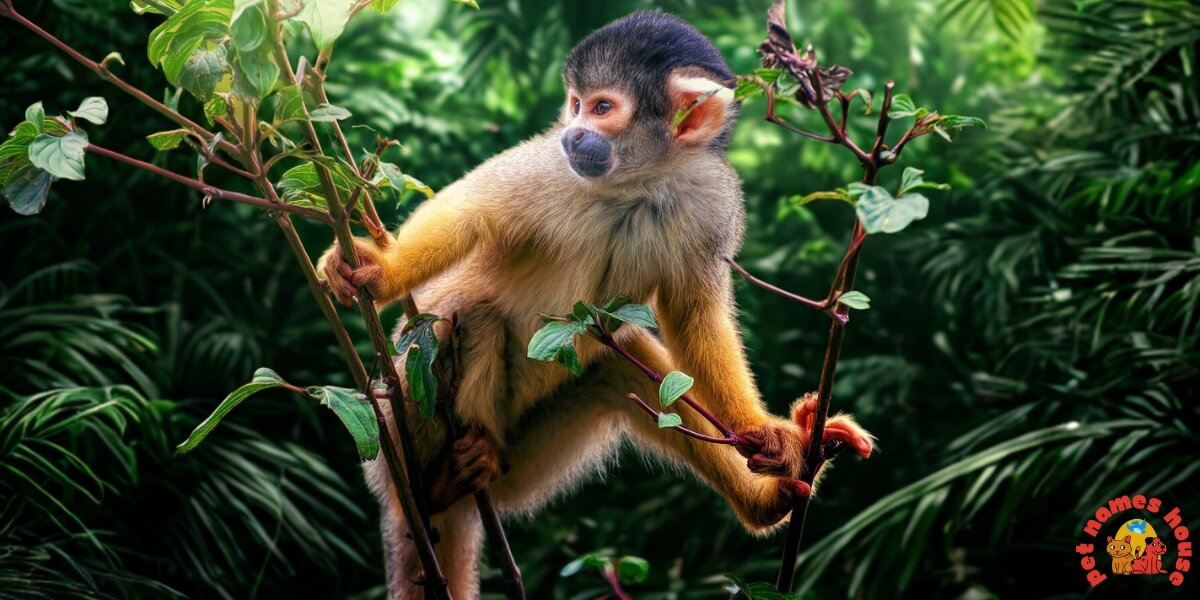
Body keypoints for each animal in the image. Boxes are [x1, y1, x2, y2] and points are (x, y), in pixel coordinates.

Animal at [318, 12, 873, 599]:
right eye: (577, 104)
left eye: (603, 108)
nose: (572, 132)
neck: (635, 183)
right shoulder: (547, 164)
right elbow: (470, 215)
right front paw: (380, 273)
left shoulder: (712, 199)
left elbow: (695, 317)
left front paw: (764, 436)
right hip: (392, 437)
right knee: (466, 315)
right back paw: (441, 482)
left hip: (525, 465)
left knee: (618, 367)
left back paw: (766, 502)